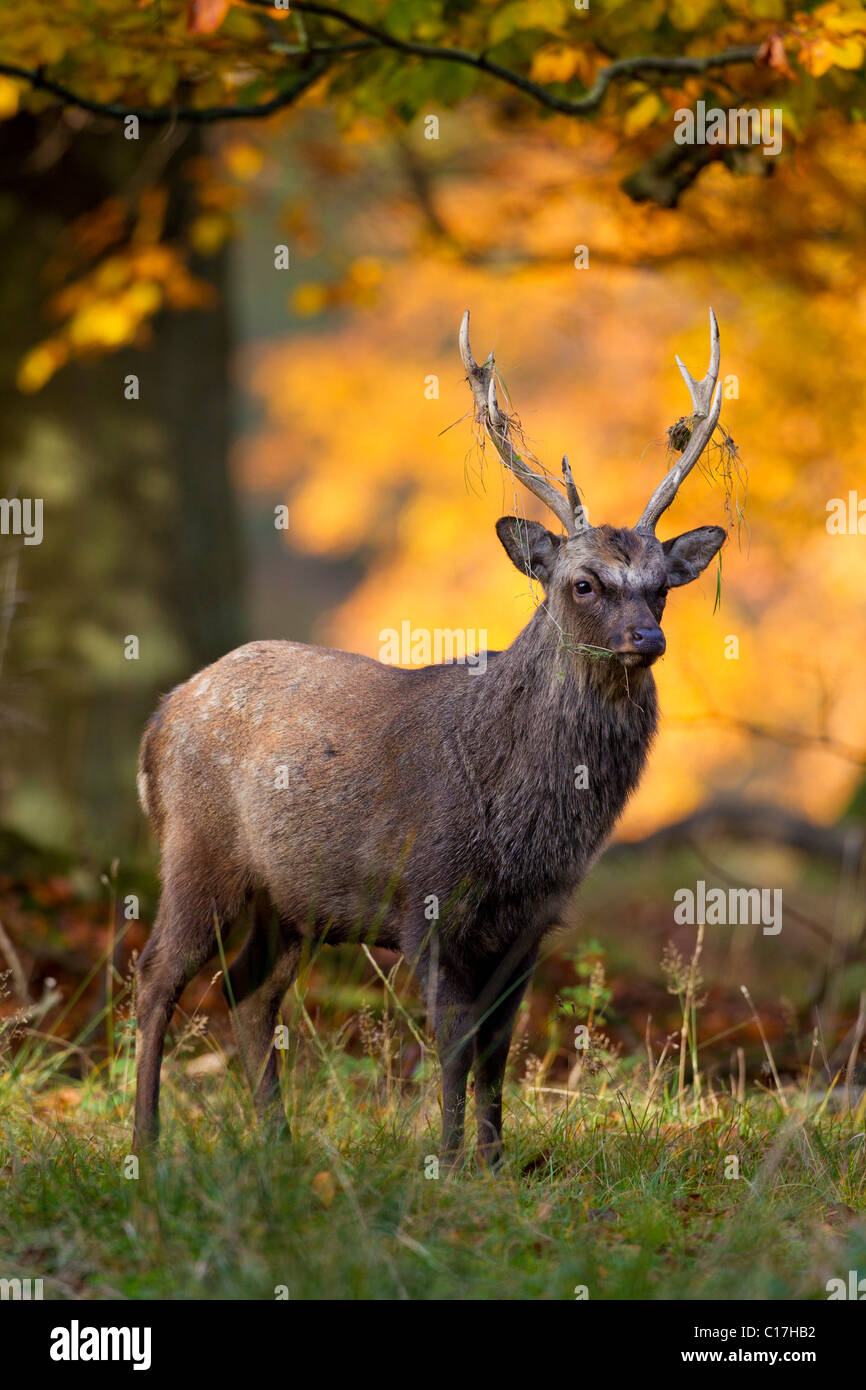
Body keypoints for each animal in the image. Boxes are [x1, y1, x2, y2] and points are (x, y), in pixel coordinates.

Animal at [133, 309, 726, 1169]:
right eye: (583, 583)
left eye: (662, 587)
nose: (646, 638)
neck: (523, 827)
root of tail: (160, 715)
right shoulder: (429, 900)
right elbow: (451, 1045)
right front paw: (448, 1164)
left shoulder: (530, 921)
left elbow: (498, 1052)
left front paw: (496, 1162)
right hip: (196, 851)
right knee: (156, 977)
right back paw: (144, 1144)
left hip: (292, 901)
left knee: (249, 991)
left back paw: (276, 1143)